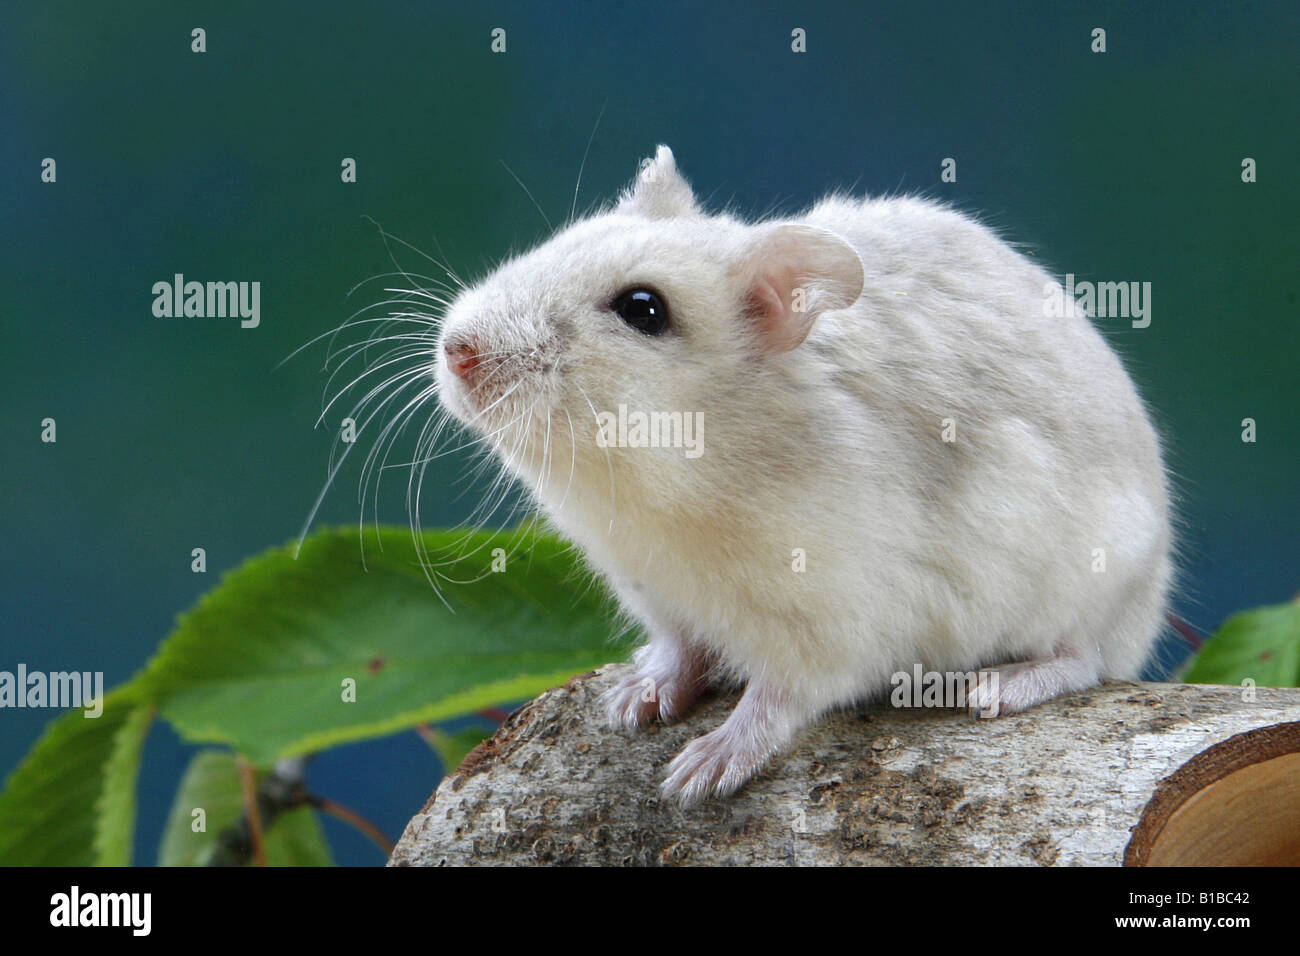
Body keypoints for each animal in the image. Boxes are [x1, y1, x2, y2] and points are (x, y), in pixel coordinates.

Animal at [434, 146, 1173, 805]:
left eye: (644, 308)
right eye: (563, 239)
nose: (456, 351)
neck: (664, 480)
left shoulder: (832, 622)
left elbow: (778, 697)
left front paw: (699, 773)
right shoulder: (657, 593)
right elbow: (680, 650)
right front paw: (633, 701)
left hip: (1089, 581)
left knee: (1085, 658)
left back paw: (998, 688)